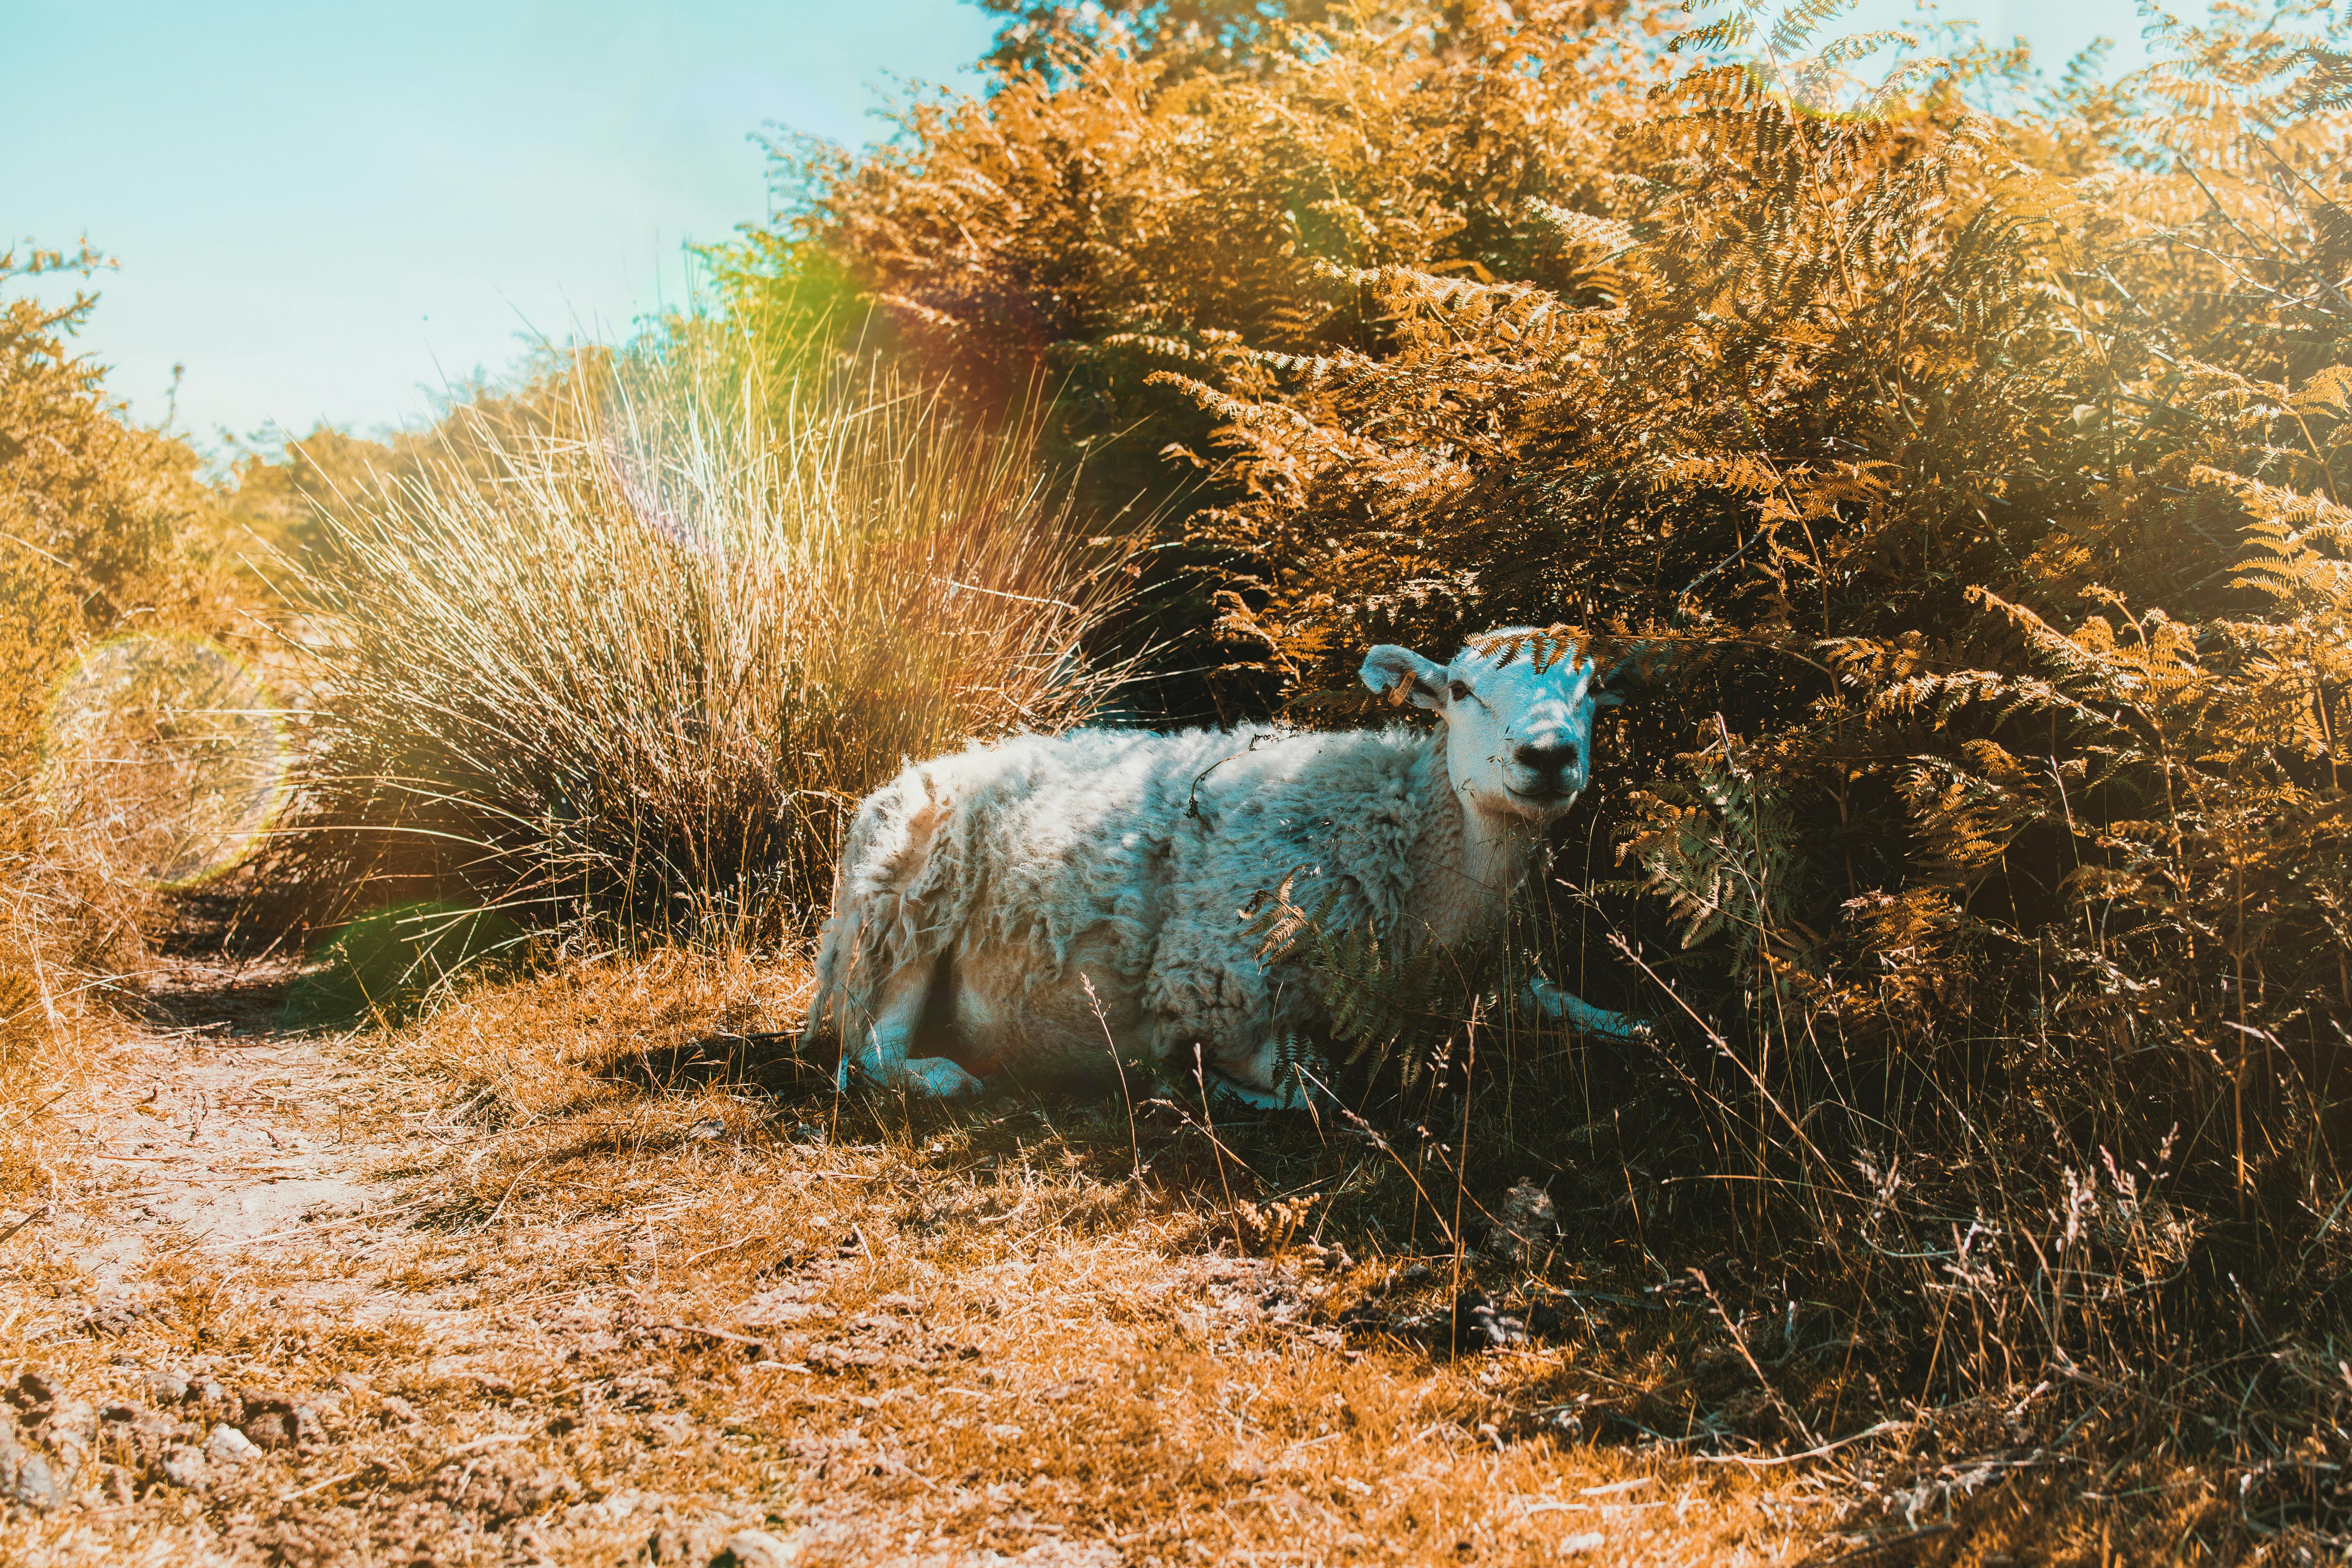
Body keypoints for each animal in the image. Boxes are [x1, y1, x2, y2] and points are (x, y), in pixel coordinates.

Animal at [801, 627, 1643, 1106]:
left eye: (1593, 690)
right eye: (1462, 691)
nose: (1548, 757)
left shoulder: (1488, 978)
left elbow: (1593, 1012)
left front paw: (1634, 1025)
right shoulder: (1213, 989)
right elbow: (1314, 1086)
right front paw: (1211, 1085)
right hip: (905, 909)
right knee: (870, 1055)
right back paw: (945, 1078)